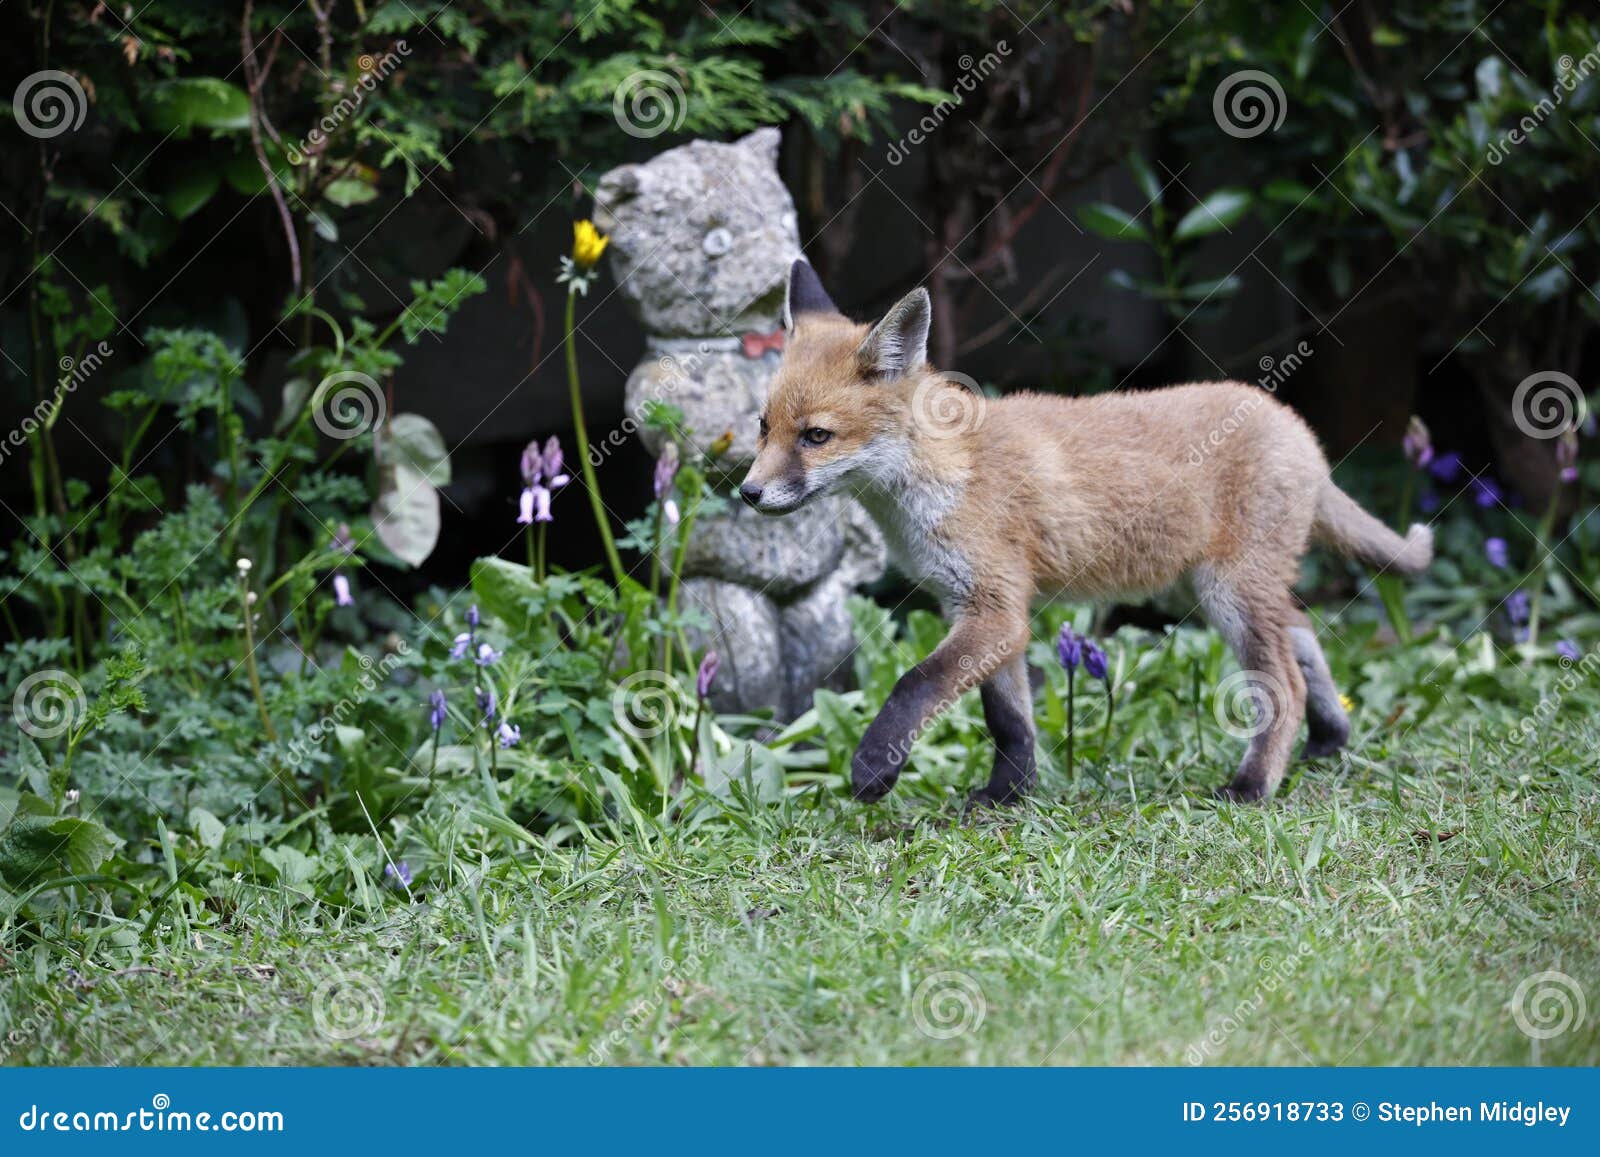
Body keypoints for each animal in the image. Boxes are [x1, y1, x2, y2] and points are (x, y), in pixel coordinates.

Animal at [739, 260, 1433, 806]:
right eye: (764, 427)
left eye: (816, 436)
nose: (747, 494)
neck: (939, 475)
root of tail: (1297, 426)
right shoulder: (980, 608)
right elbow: (1009, 720)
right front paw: (1008, 794)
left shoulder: (994, 606)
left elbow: (915, 684)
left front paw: (874, 769)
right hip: (1202, 589)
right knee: (1304, 635)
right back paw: (1328, 742)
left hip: (1228, 593)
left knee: (1284, 683)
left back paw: (1254, 785)